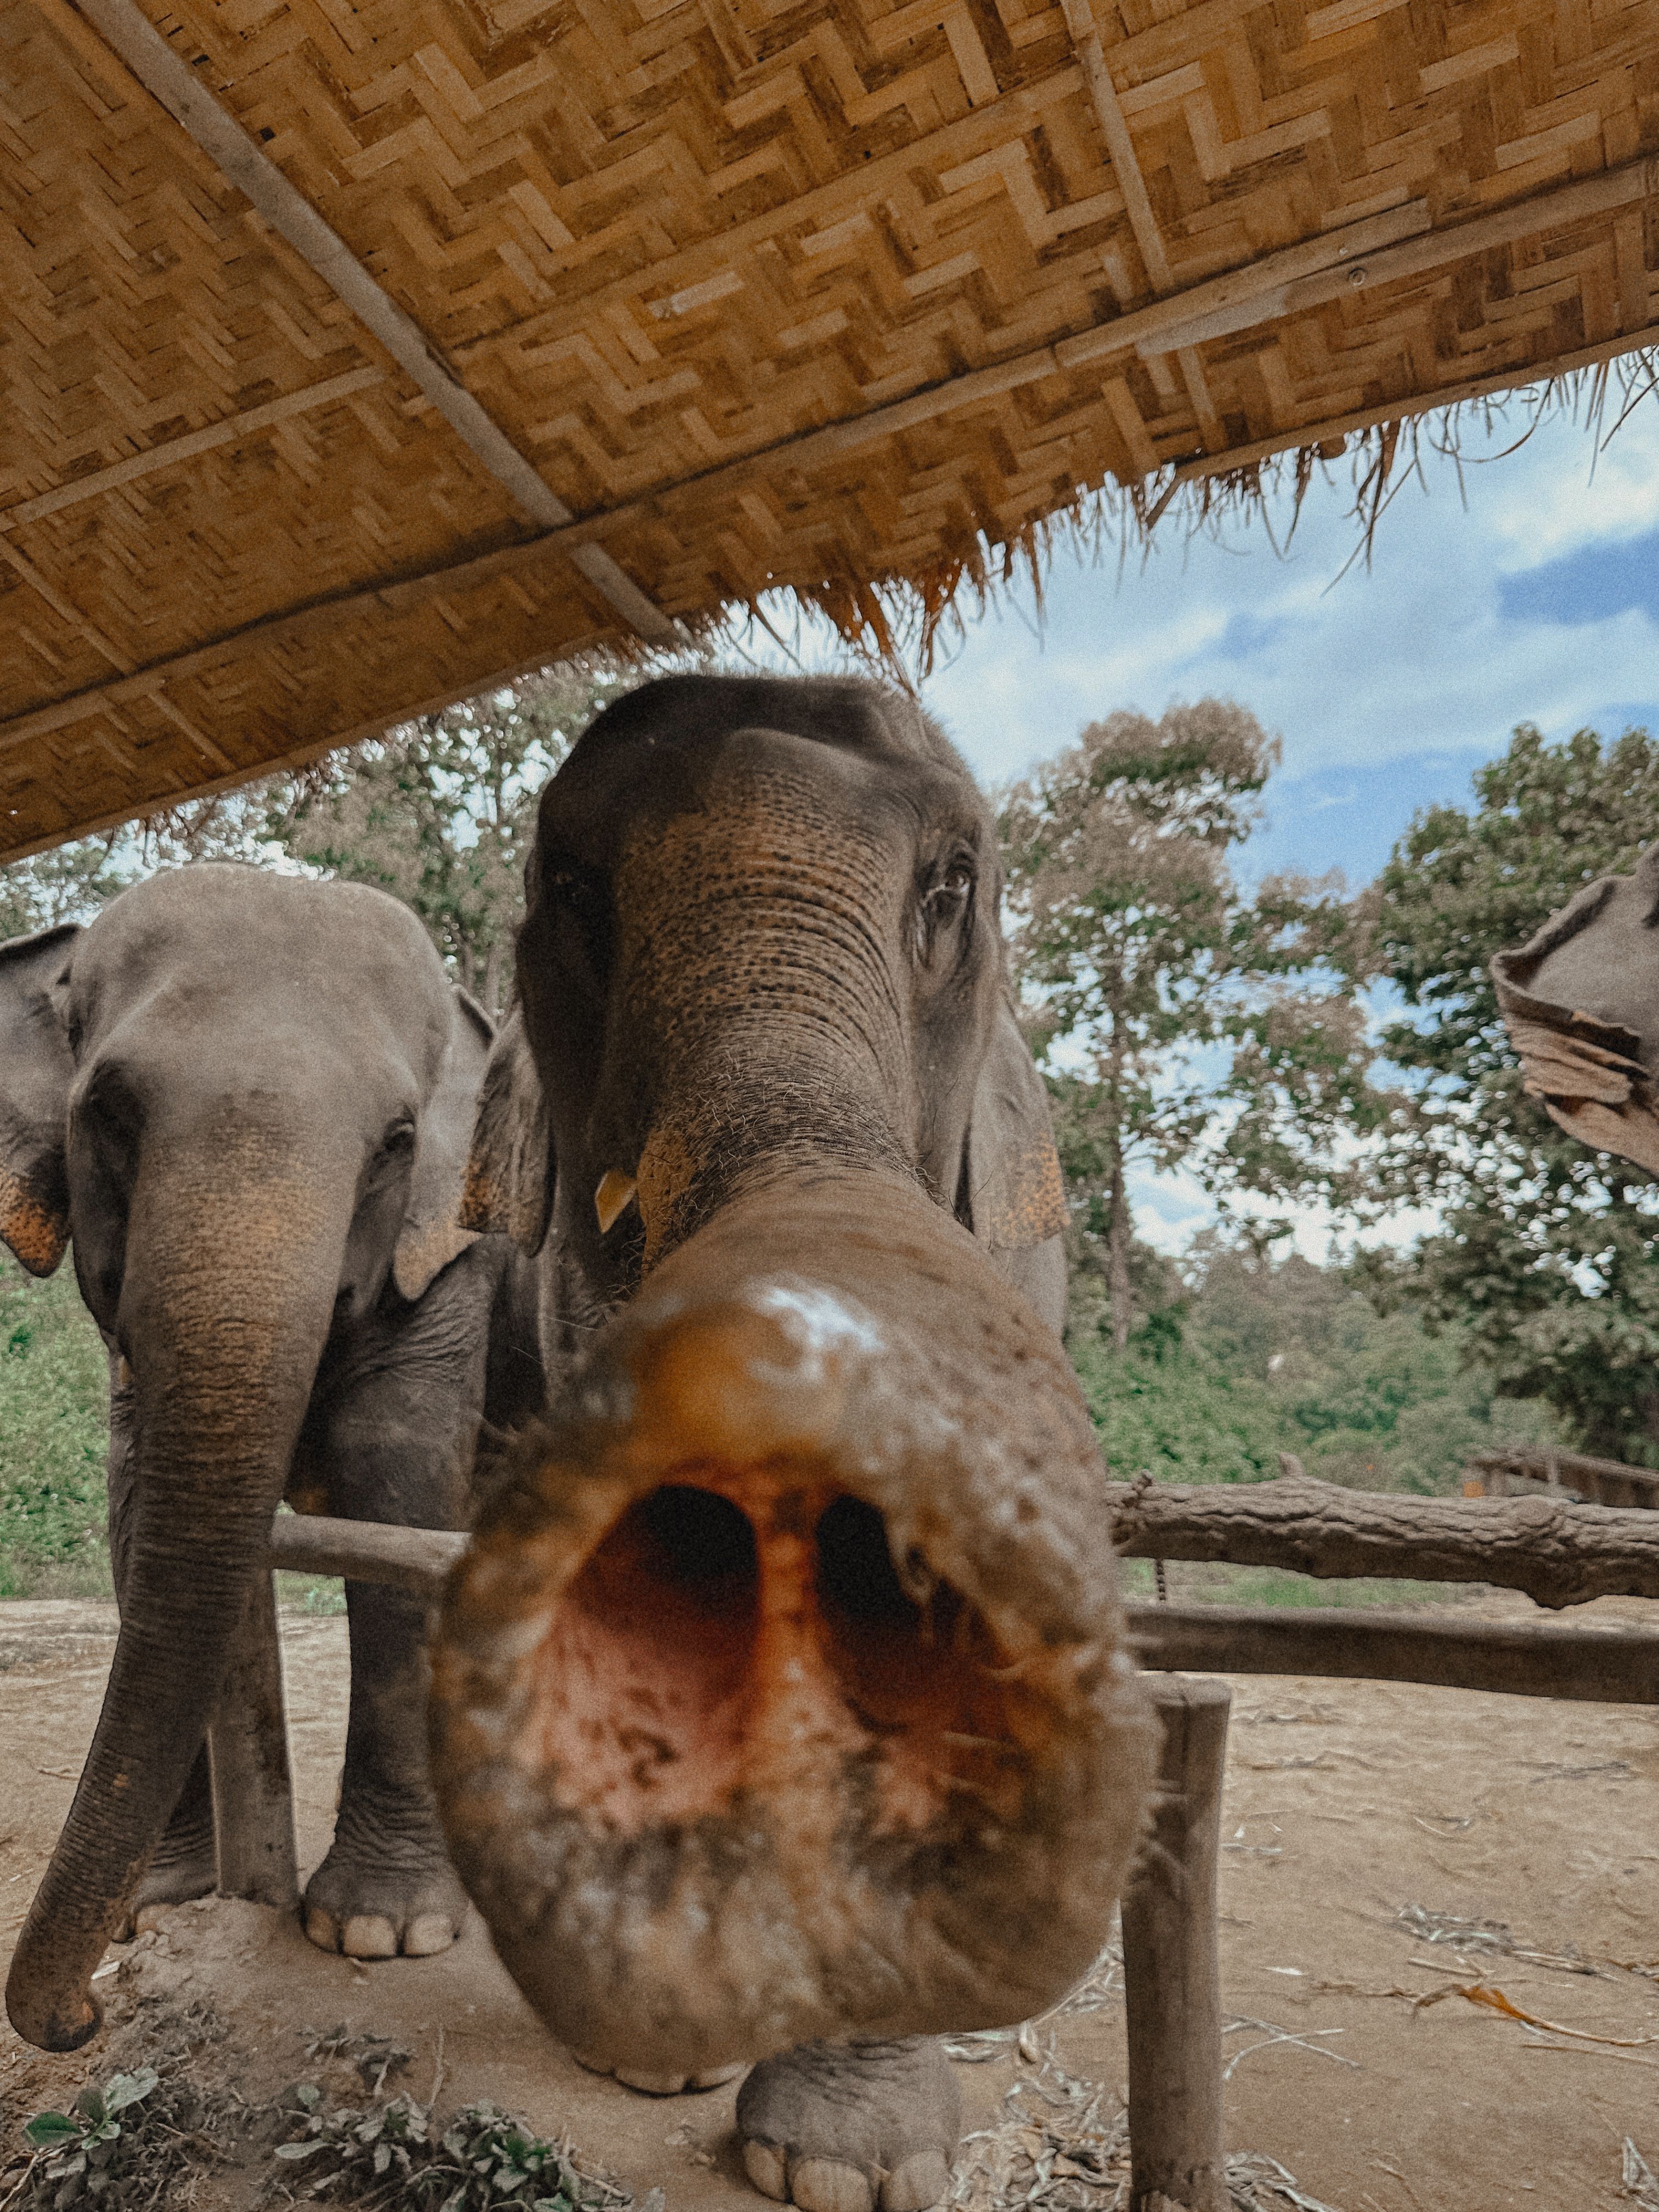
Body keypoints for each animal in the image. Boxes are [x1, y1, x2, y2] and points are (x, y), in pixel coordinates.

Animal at [1, 864, 541, 2054]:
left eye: (397, 1139)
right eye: (109, 1111)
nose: (83, 2017)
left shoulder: (449, 1270)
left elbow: (398, 1487)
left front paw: (382, 1932)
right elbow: (136, 1509)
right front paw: (161, 1908)